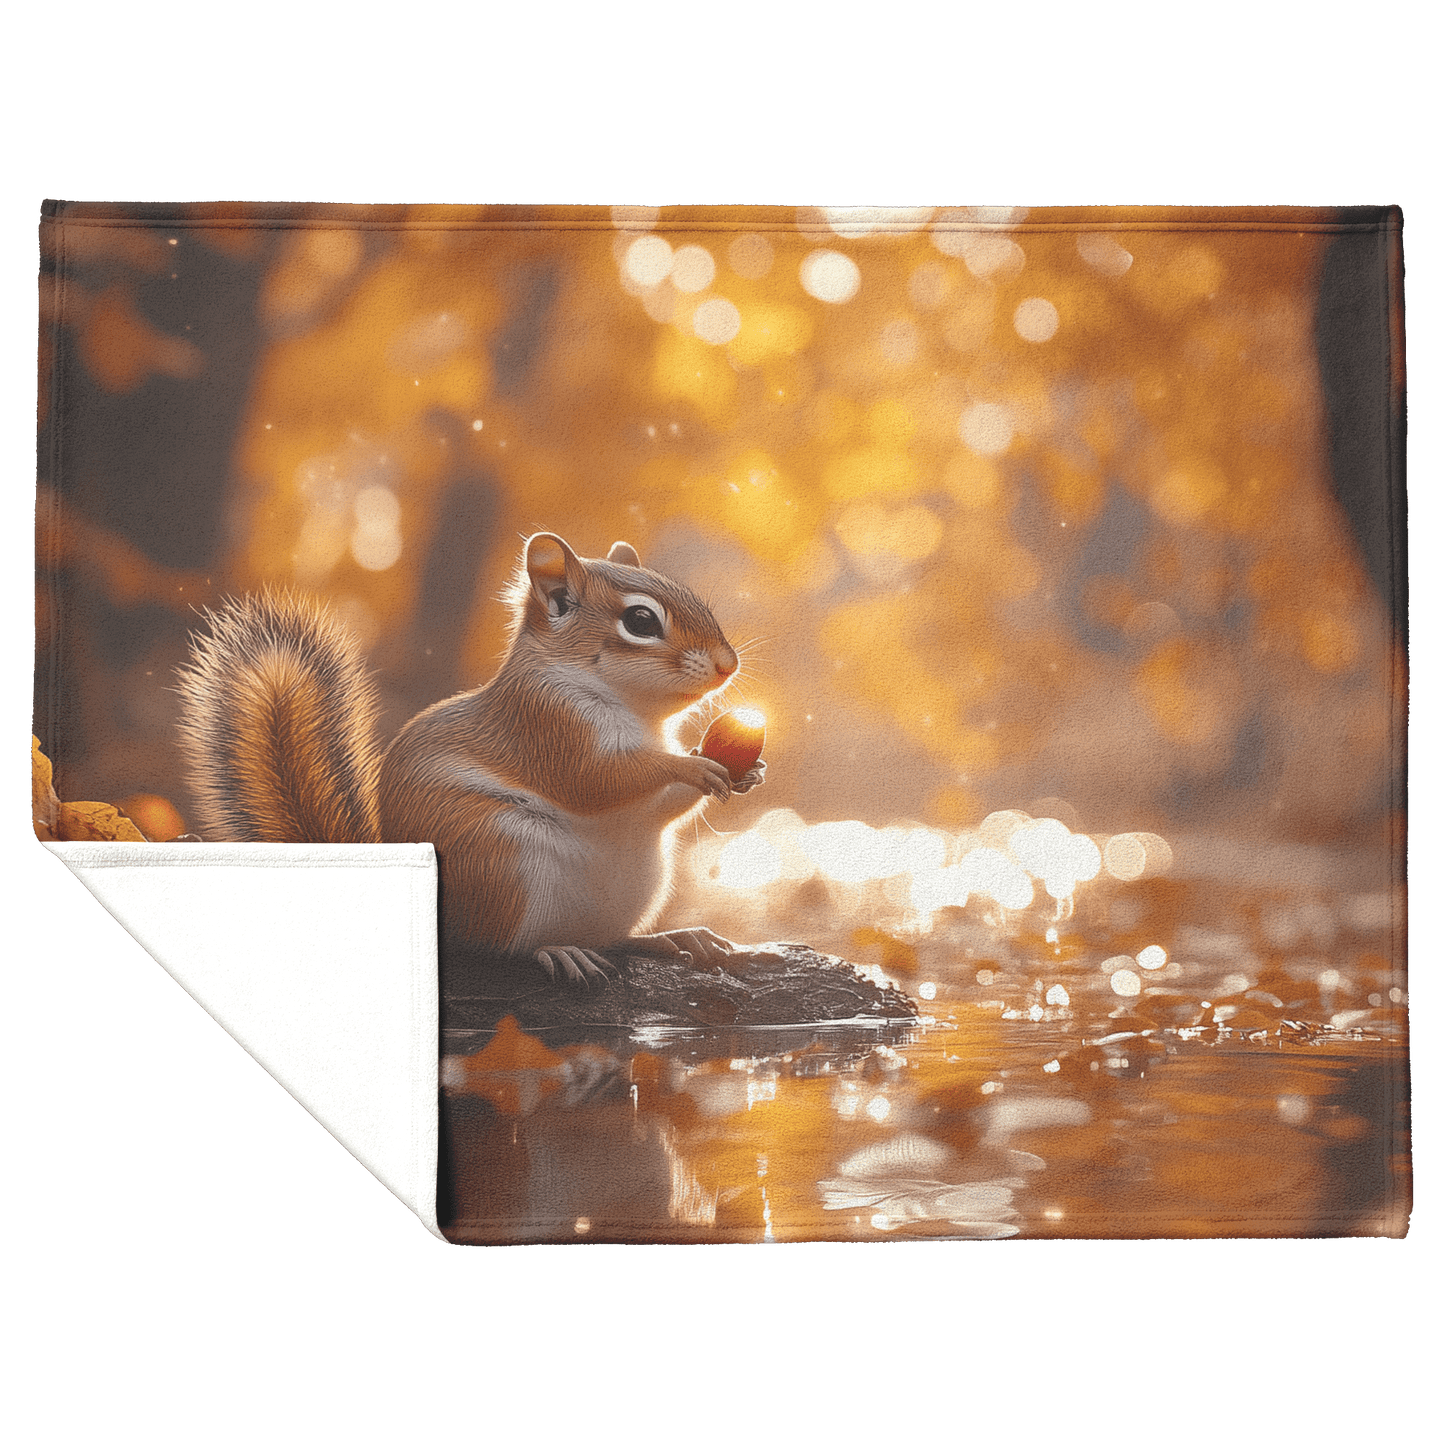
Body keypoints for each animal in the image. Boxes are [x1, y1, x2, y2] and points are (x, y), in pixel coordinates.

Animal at [176, 532, 764, 986]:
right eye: (641, 621)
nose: (728, 664)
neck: (634, 708)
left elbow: (656, 807)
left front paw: (743, 772)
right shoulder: (545, 727)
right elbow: (599, 780)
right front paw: (690, 765)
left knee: (613, 938)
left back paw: (669, 937)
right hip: (502, 862)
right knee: (492, 945)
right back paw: (555, 950)